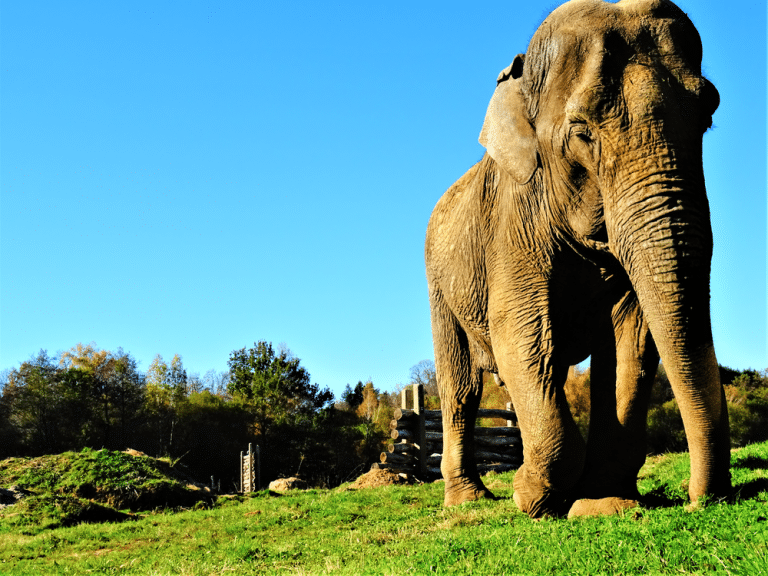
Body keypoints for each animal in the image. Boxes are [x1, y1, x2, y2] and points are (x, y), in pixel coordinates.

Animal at [425, 0, 730, 518]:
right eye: (582, 132)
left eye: (708, 117)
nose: (700, 501)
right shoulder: (514, 220)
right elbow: (519, 334)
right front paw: (529, 496)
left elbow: (631, 340)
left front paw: (603, 506)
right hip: (437, 284)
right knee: (461, 387)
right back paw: (467, 502)